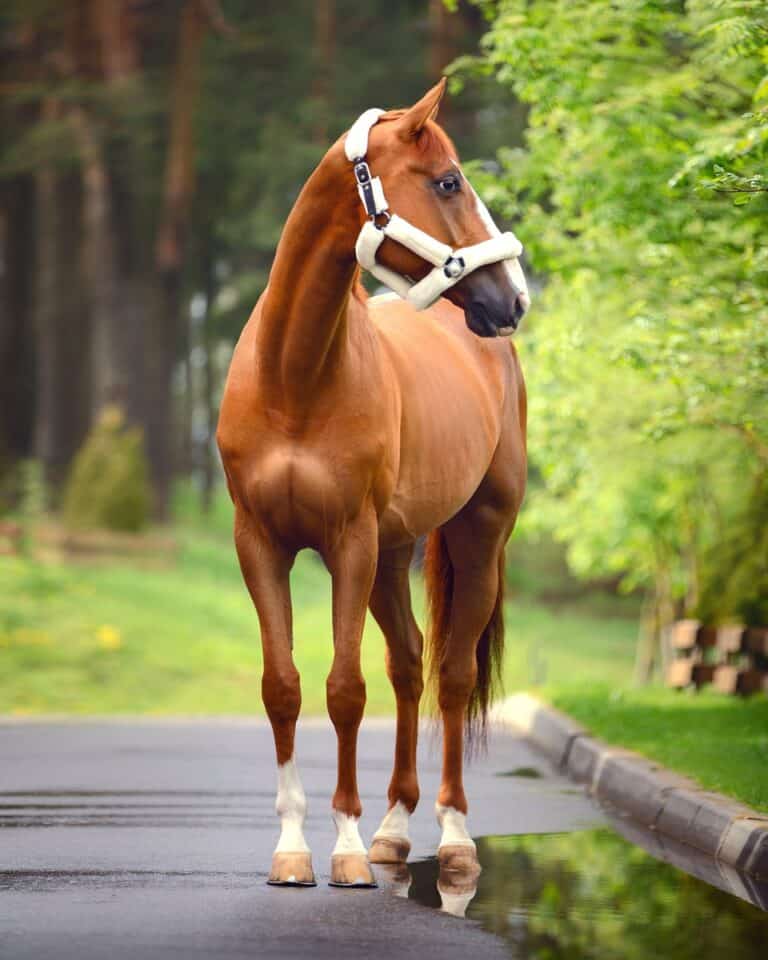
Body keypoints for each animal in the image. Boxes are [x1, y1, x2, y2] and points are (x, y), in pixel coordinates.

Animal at [217, 78, 528, 888]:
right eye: (448, 181)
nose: (515, 298)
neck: (294, 379)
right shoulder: (260, 544)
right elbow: (284, 687)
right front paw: (294, 850)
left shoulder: (346, 544)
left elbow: (344, 690)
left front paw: (348, 850)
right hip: (393, 555)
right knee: (412, 664)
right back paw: (394, 829)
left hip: (477, 537)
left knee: (453, 674)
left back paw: (452, 838)